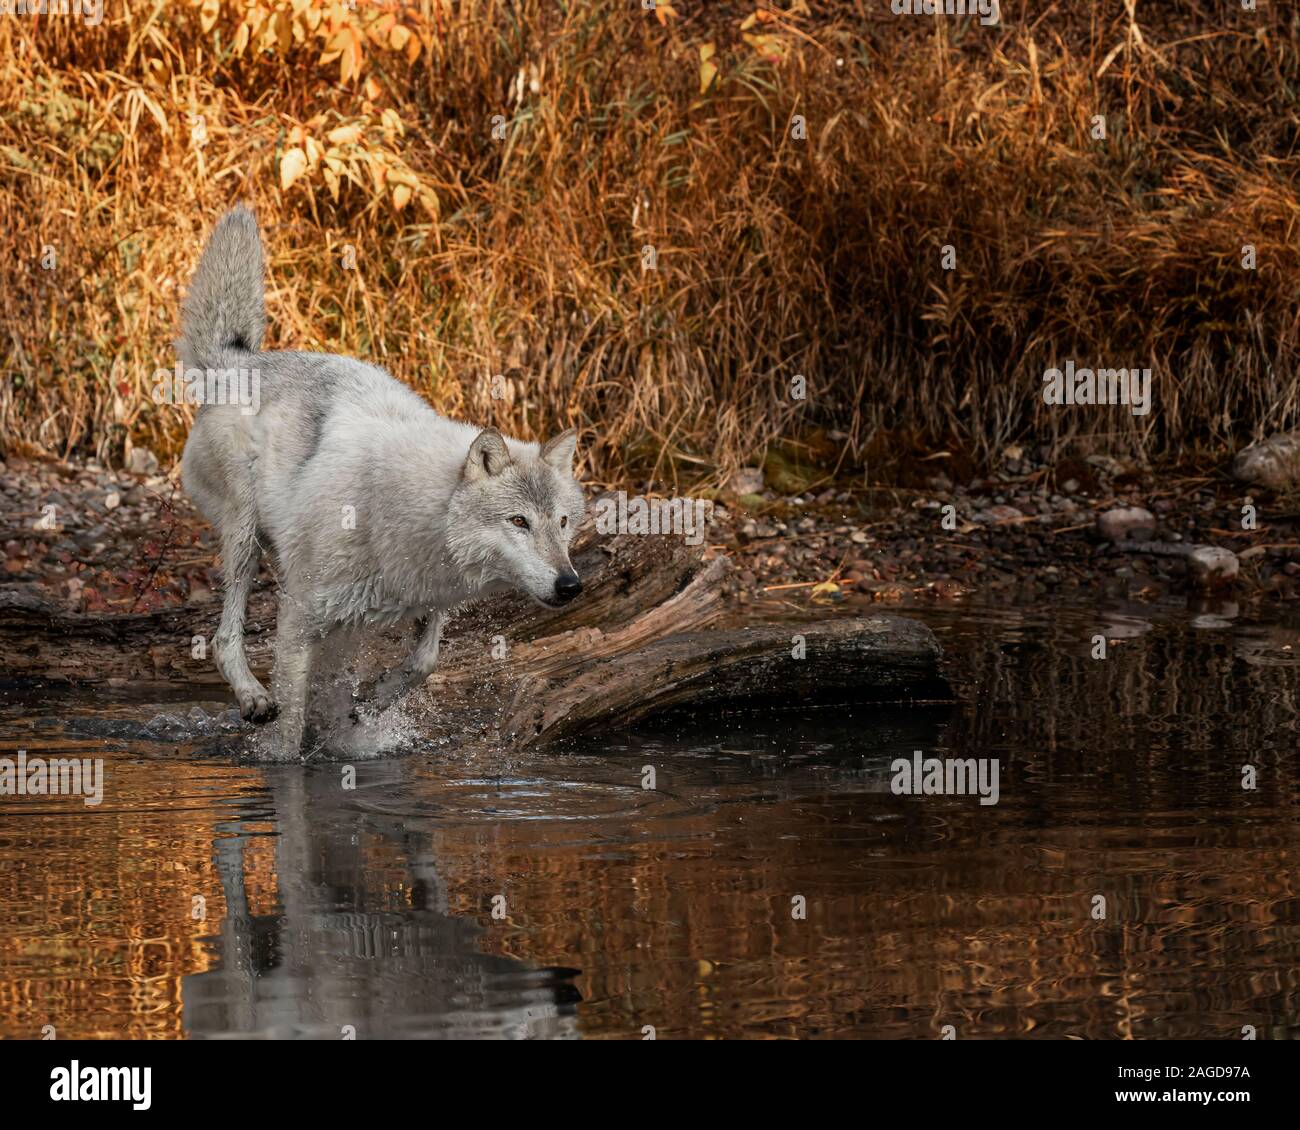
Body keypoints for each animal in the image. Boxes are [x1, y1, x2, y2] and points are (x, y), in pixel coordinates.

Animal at [177, 205, 585, 759]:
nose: (570, 585)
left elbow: (424, 662)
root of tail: (236, 363)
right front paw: (284, 757)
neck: (410, 508)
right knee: (223, 639)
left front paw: (369, 704)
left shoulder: (424, 602)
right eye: (519, 521)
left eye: (561, 523)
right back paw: (254, 698)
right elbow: (290, 726)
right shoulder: (301, 611)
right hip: (245, 541)